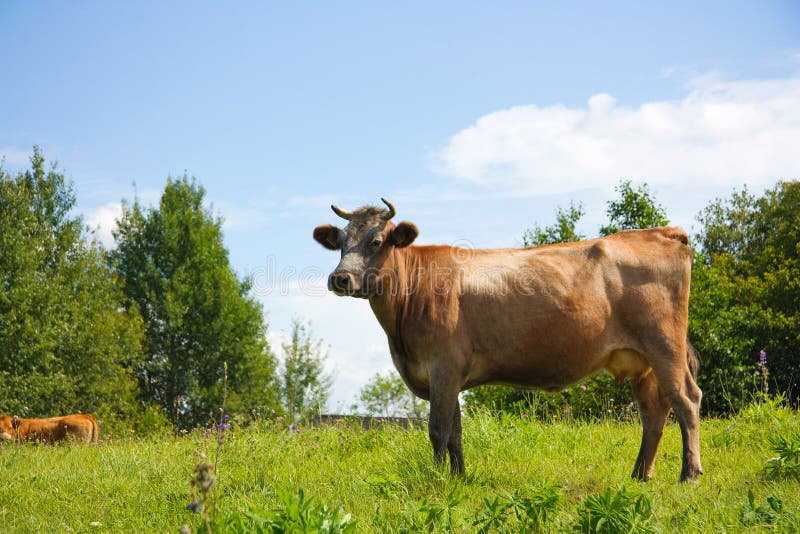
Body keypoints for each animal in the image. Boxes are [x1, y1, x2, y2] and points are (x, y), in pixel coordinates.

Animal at [313, 199, 703, 482]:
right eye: (341, 243)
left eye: (376, 241)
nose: (340, 278)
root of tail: (663, 232)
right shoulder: (449, 376)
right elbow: (455, 431)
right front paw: (459, 479)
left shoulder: (443, 368)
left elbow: (437, 430)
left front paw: (436, 480)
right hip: (641, 361)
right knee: (654, 411)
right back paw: (640, 475)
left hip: (664, 345)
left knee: (686, 400)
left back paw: (689, 474)